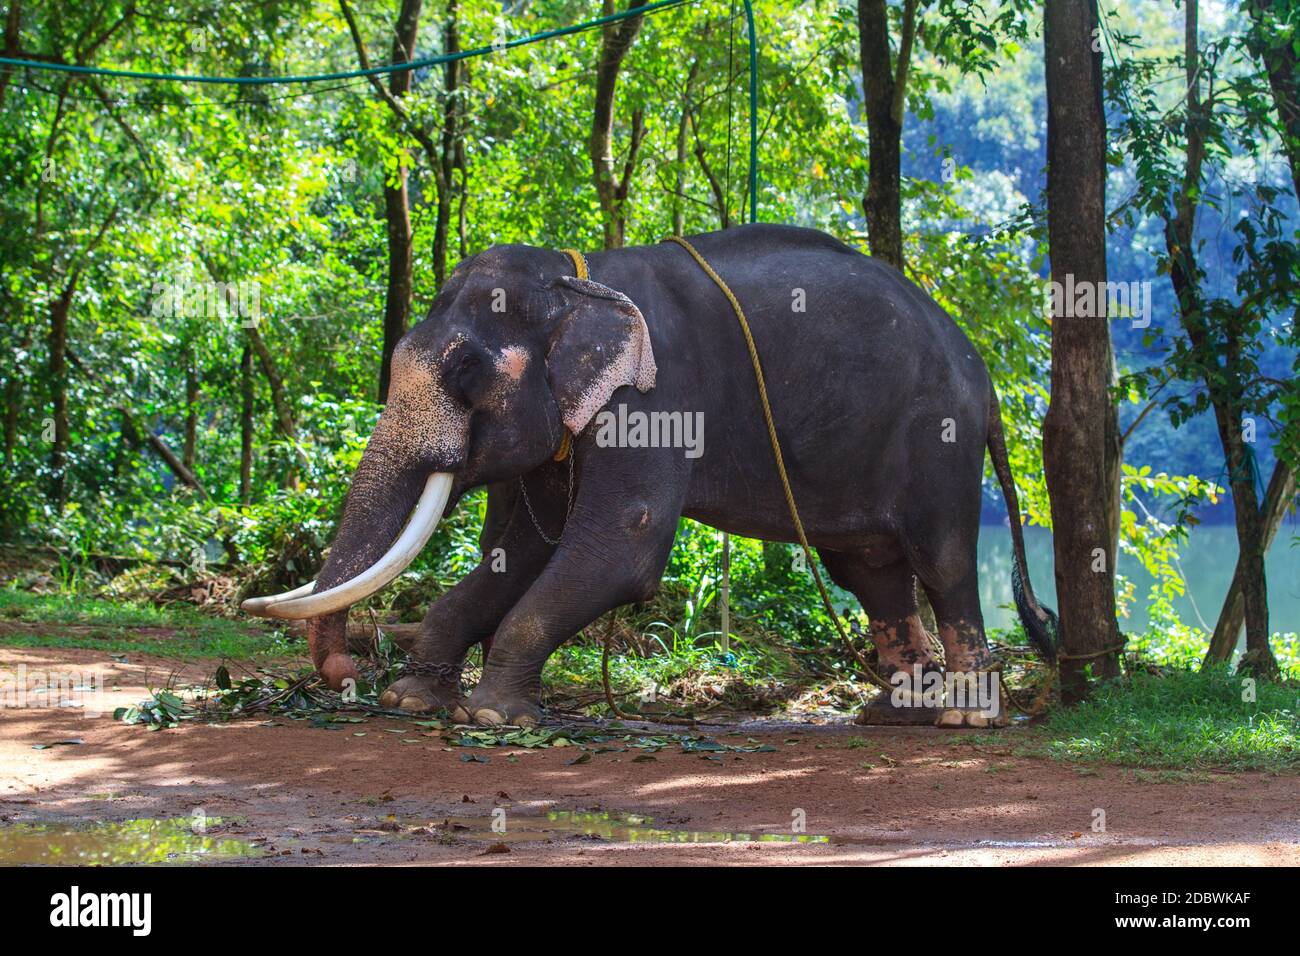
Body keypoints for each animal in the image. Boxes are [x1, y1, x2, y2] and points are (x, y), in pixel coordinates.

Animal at [243, 223, 1057, 729]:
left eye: (468, 369)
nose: (346, 673)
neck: (577, 277)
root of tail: (984, 374)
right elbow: (521, 553)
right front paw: (415, 701)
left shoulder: (654, 399)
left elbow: (622, 547)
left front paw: (493, 714)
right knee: (871, 572)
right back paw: (893, 714)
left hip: (938, 441)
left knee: (941, 560)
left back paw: (964, 716)